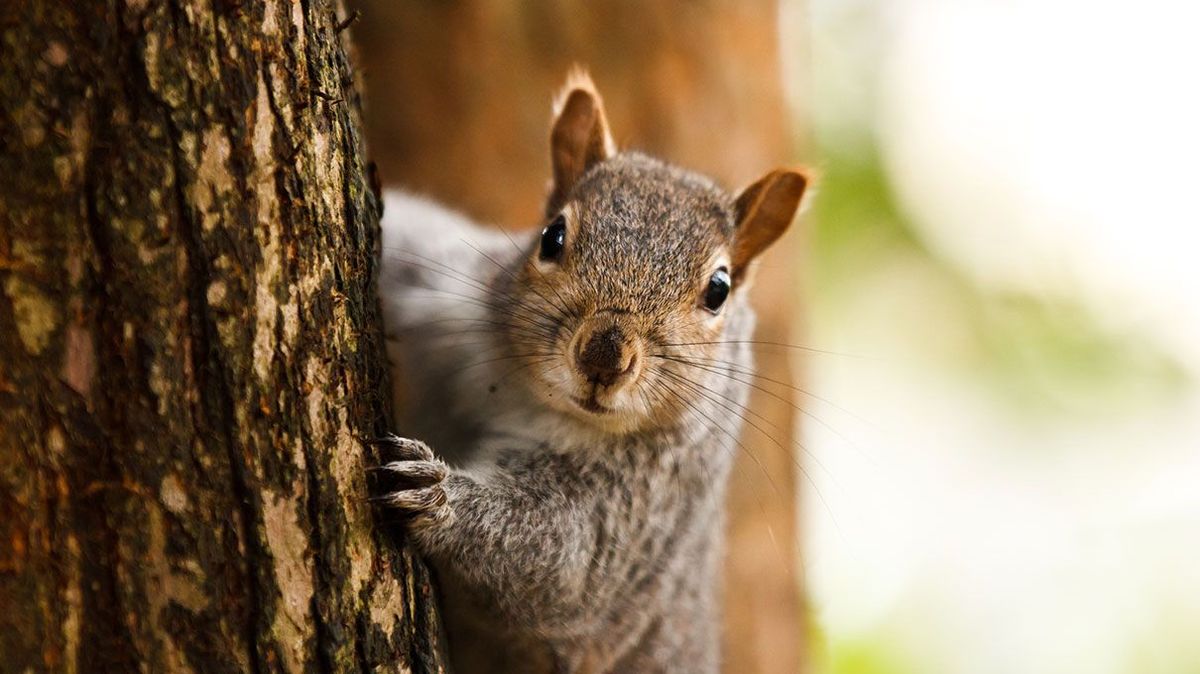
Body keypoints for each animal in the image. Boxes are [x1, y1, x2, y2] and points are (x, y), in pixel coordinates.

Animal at [374, 70, 809, 673]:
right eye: (552, 236)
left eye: (719, 290)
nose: (604, 357)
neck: (527, 395)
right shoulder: (445, 294)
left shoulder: (638, 506)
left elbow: (561, 560)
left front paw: (435, 494)